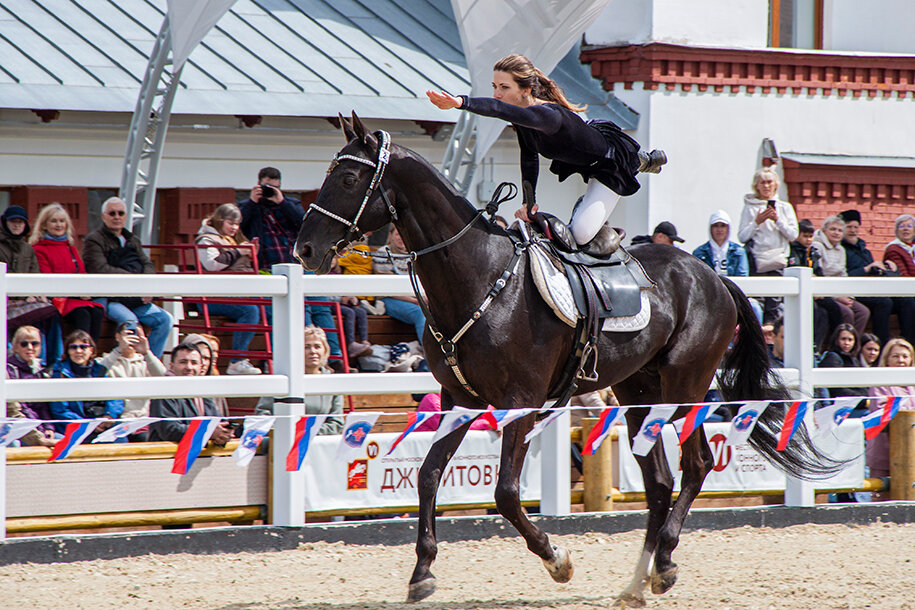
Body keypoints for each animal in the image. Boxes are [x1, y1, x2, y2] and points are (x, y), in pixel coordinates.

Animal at [296, 113, 836, 604]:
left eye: (348, 179)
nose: (304, 249)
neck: (478, 275)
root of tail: (713, 276)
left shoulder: (521, 400)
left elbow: (506, 493)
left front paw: (558, 560)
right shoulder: (457, 399)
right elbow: (429, 475)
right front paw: (422, 571)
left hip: (685, 386)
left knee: (696, 464)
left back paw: (664, 563)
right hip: (638, 390)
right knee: (659, 481)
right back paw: (637, 583)